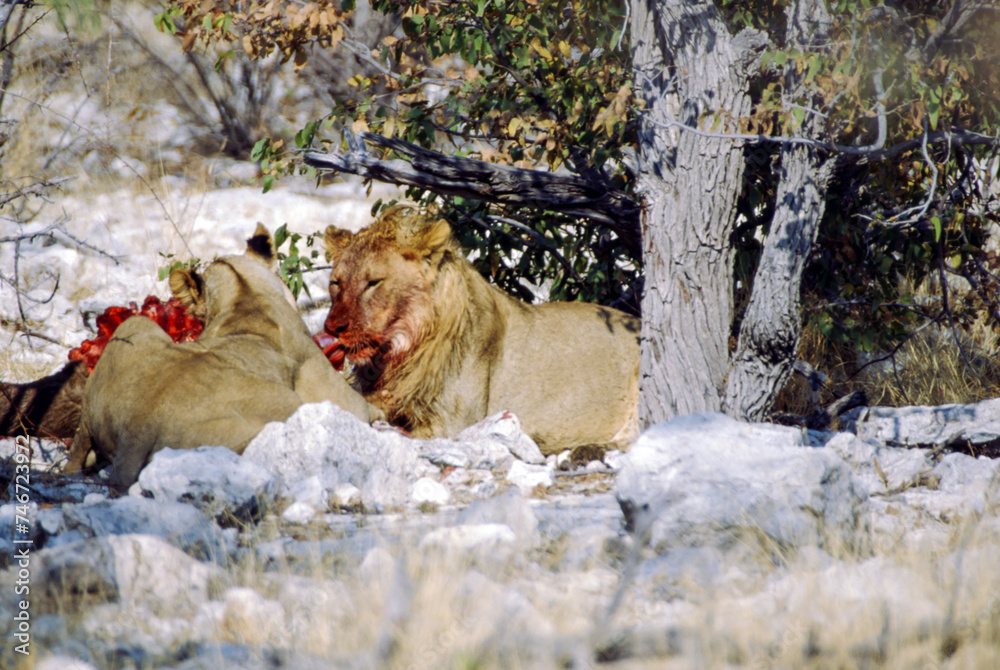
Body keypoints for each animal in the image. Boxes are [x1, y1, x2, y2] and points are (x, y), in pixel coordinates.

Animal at [65, 225, 377, 485]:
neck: (246, 294)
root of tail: (137, 430)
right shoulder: (335, 391)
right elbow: (366, 408)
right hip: (288, 407)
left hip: (133, 327)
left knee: (80, 445)